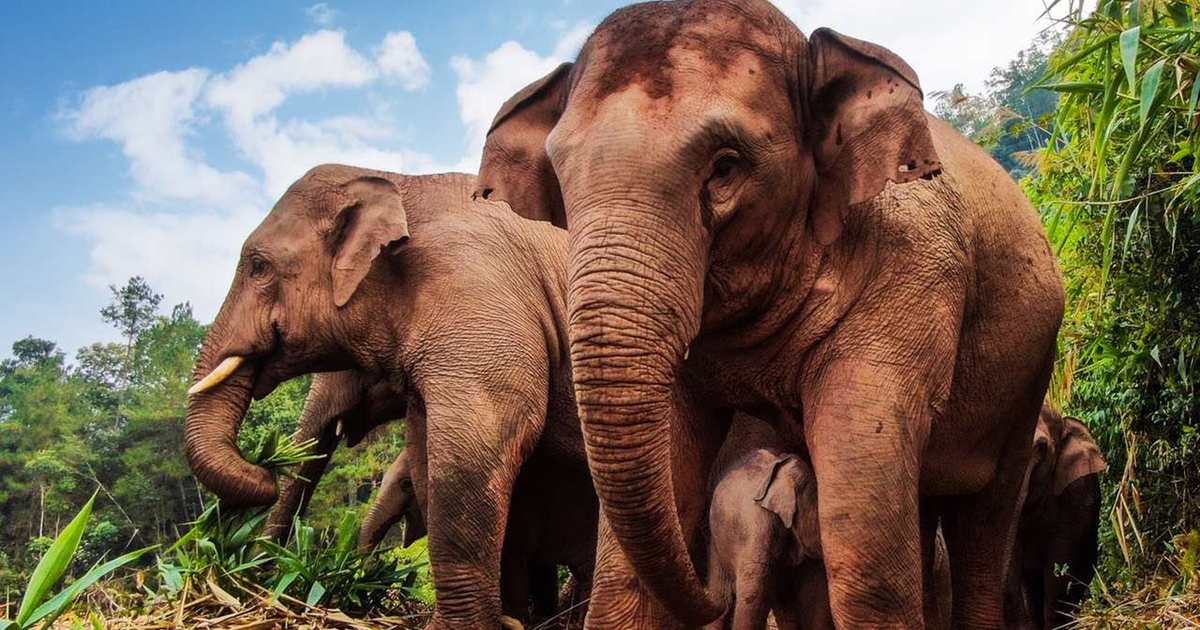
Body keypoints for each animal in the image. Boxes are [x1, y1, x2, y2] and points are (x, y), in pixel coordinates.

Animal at [184, 166, 602, 630]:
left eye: (258, 266)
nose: (264, 467)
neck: (398, 182)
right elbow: (426, 456)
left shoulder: (480, 305)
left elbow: (475, 450)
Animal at [477, 1, 1066, 627]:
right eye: (561, 176)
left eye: (725, 167)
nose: (716, 591)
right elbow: (662, 486)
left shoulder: (911, 274)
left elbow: (862, 539)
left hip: (1028, 377)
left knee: (983, 524)